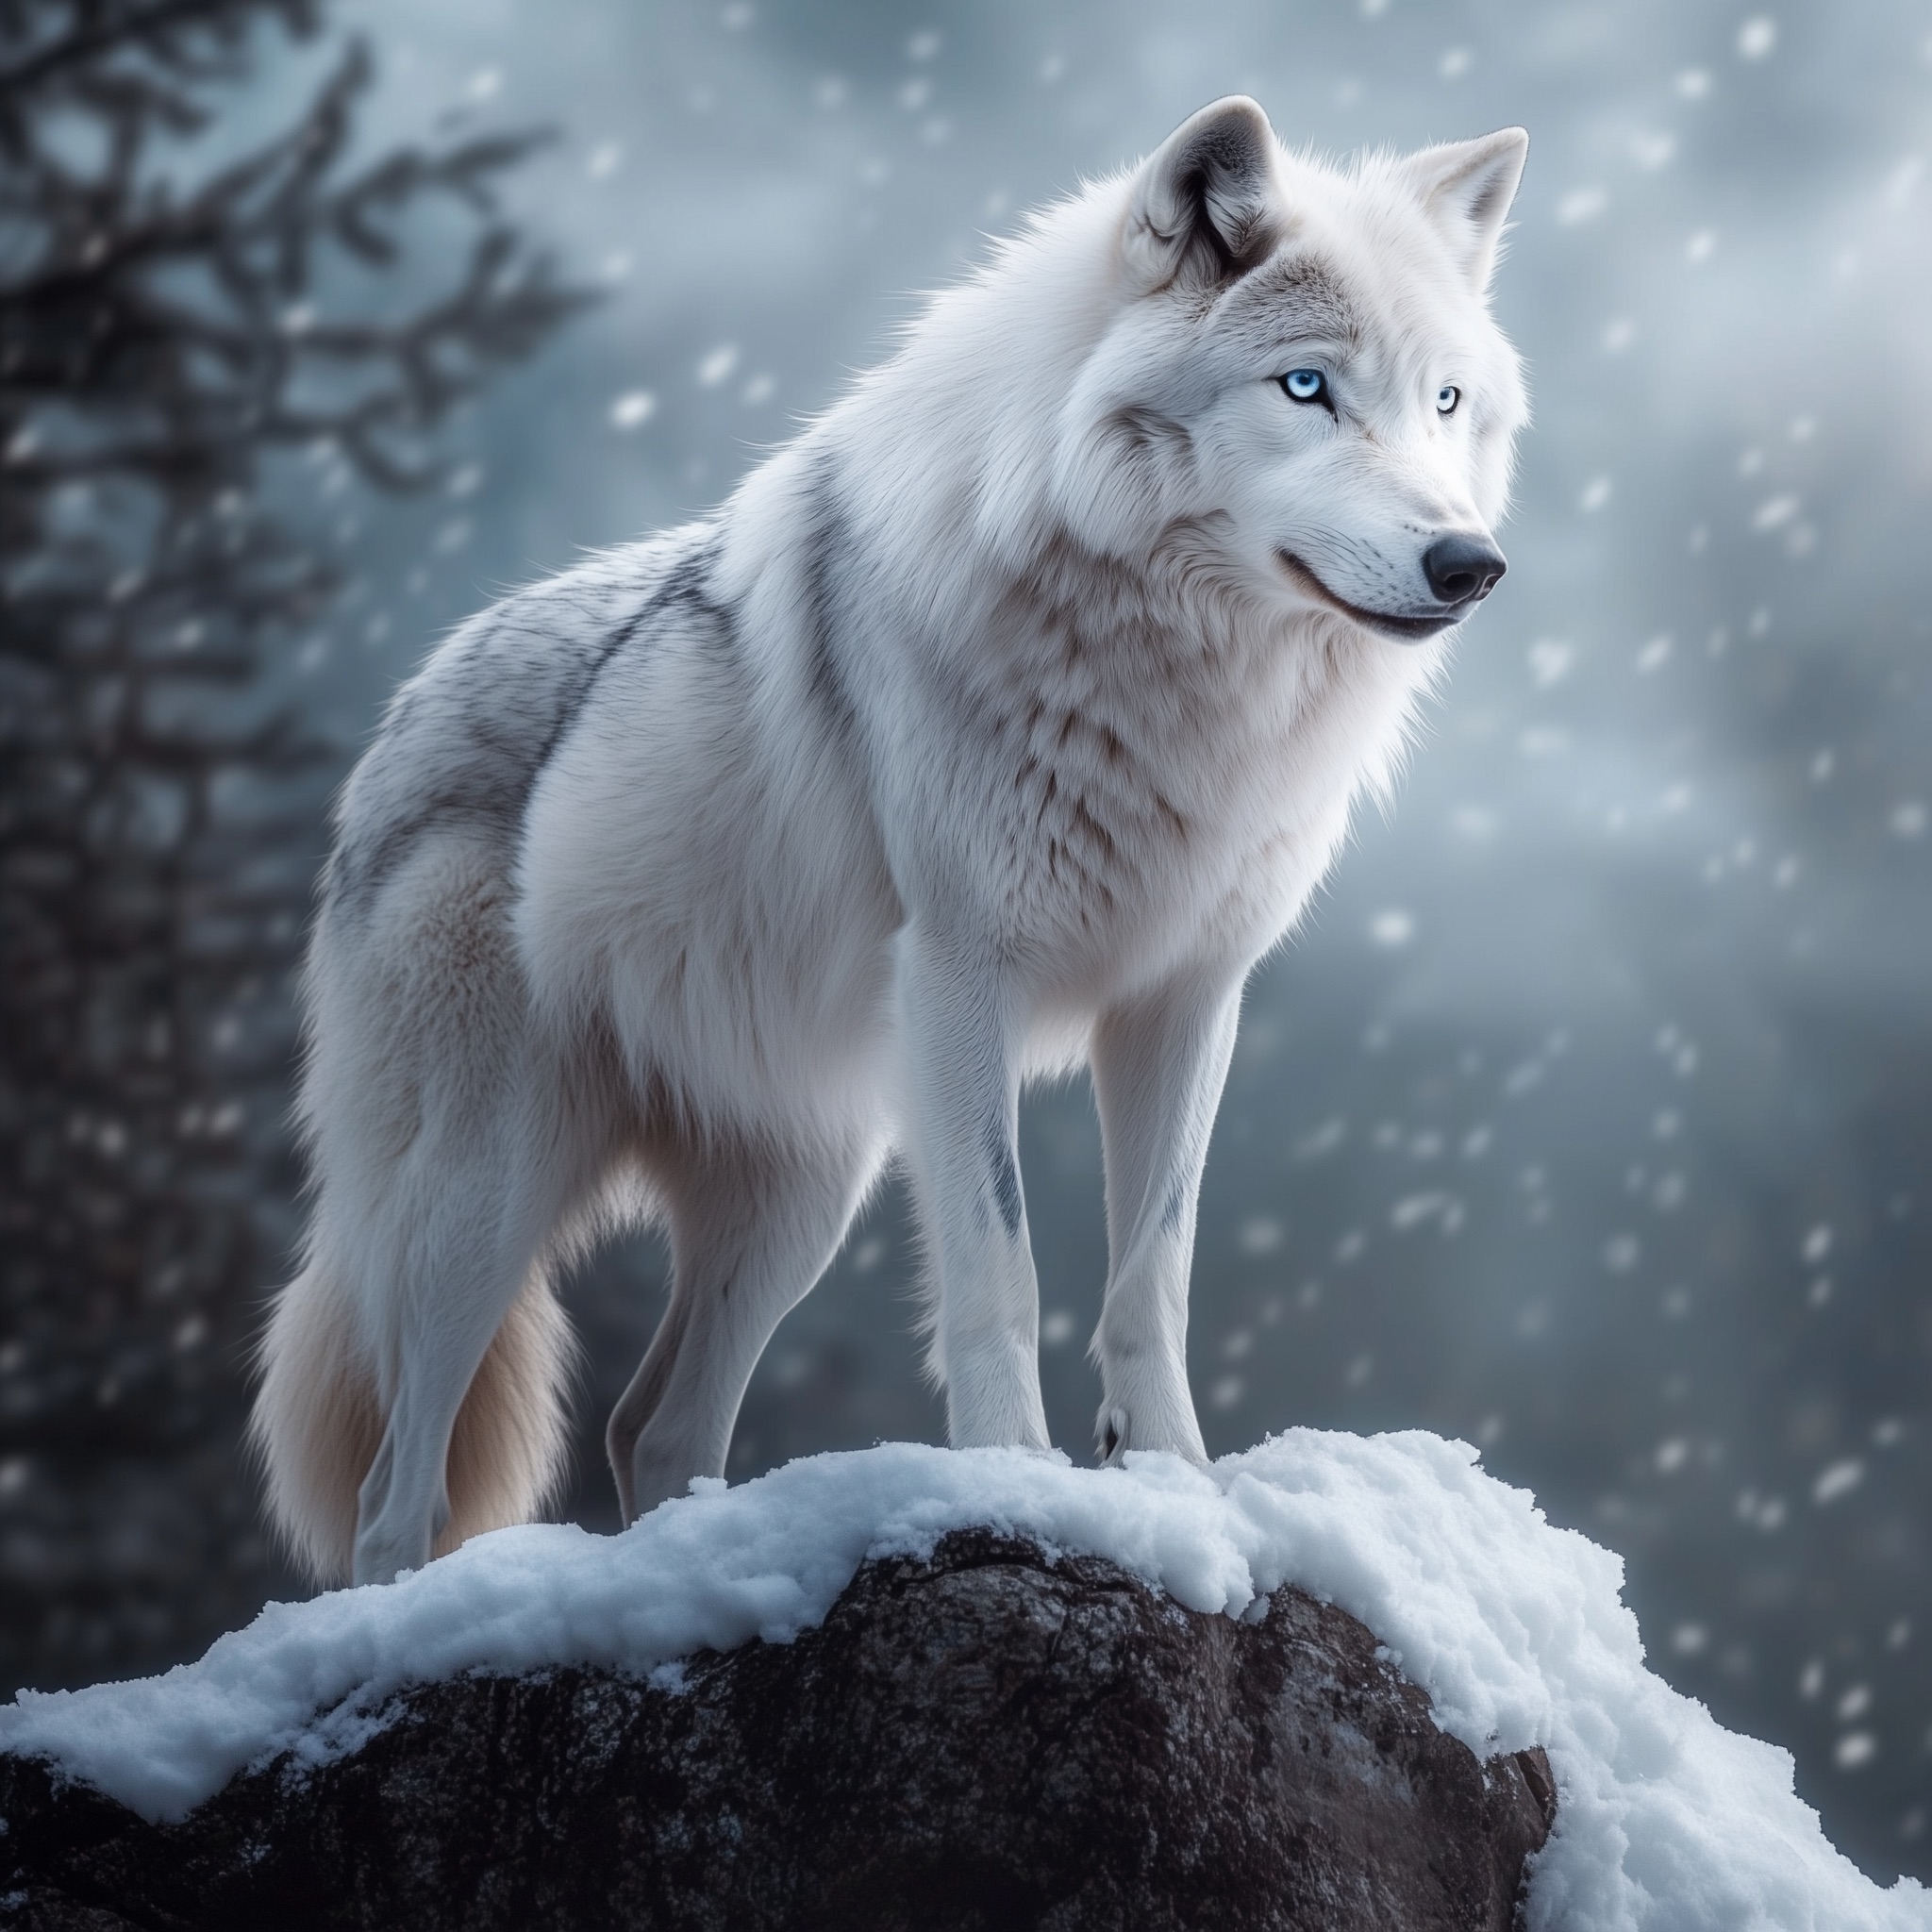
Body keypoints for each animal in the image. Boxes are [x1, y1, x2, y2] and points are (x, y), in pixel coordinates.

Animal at [251, 97, 1529, 1586]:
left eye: (1444, 401)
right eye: (1309, 387)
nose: (1469, 565)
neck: (1175, 675)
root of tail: (399, 715)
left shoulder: (1185, 997)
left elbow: (1152, 1273)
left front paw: (1181, 1485)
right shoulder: (965, 973)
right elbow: (1001, 1262)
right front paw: (1022, 1481)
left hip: (800, 1200)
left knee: (649, 1426)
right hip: (484, 1207)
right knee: (399, 1488)